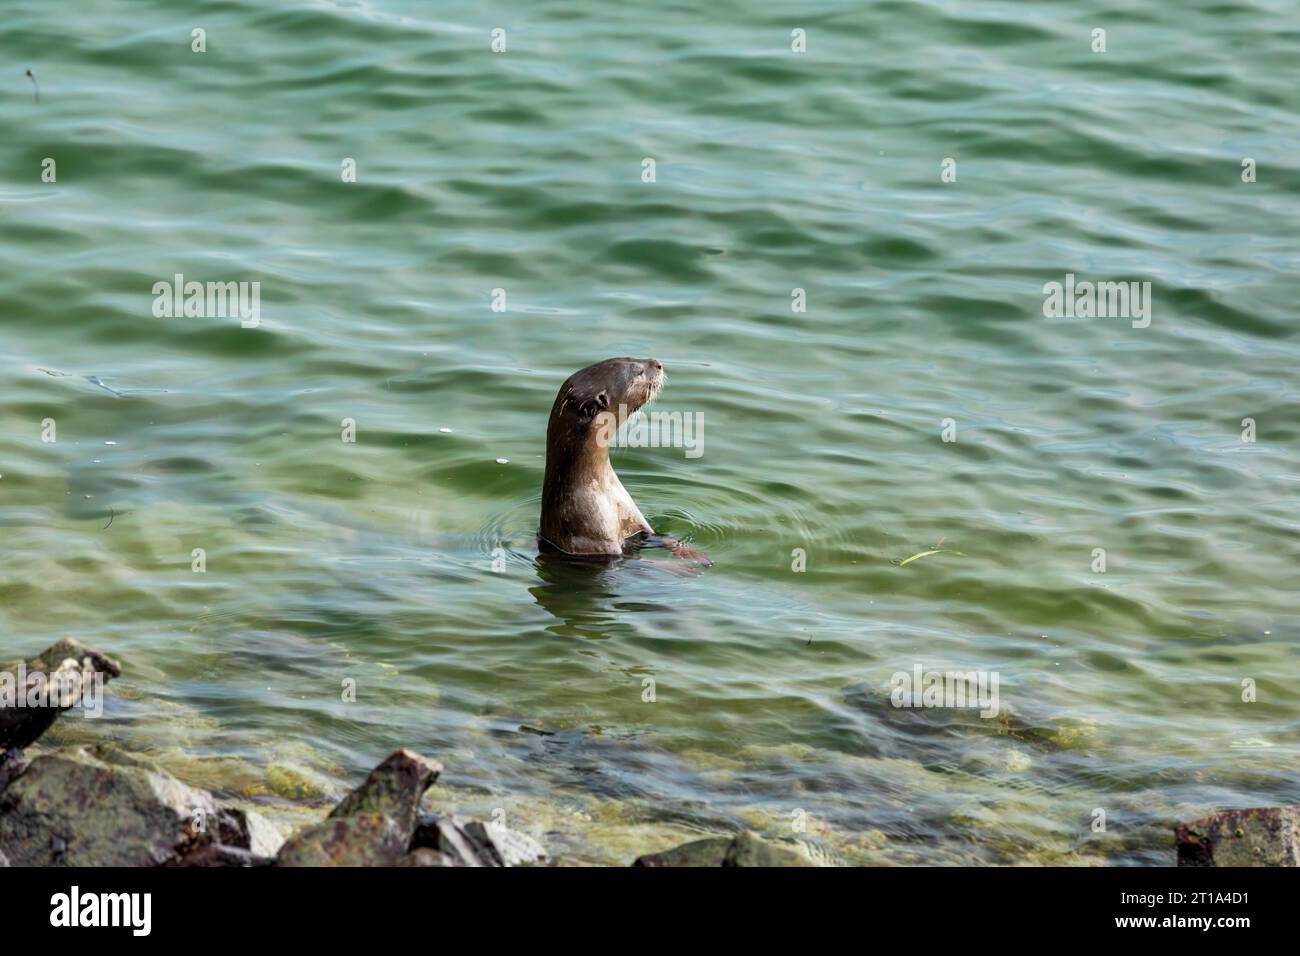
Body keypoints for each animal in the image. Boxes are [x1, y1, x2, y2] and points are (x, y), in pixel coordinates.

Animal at [540, 357, 710, 565]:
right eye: (638, 372)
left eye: (632, 358)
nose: (658, 363)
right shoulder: (596, 540)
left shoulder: (636, 520)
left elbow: (659, 536)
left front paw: (695, 555)